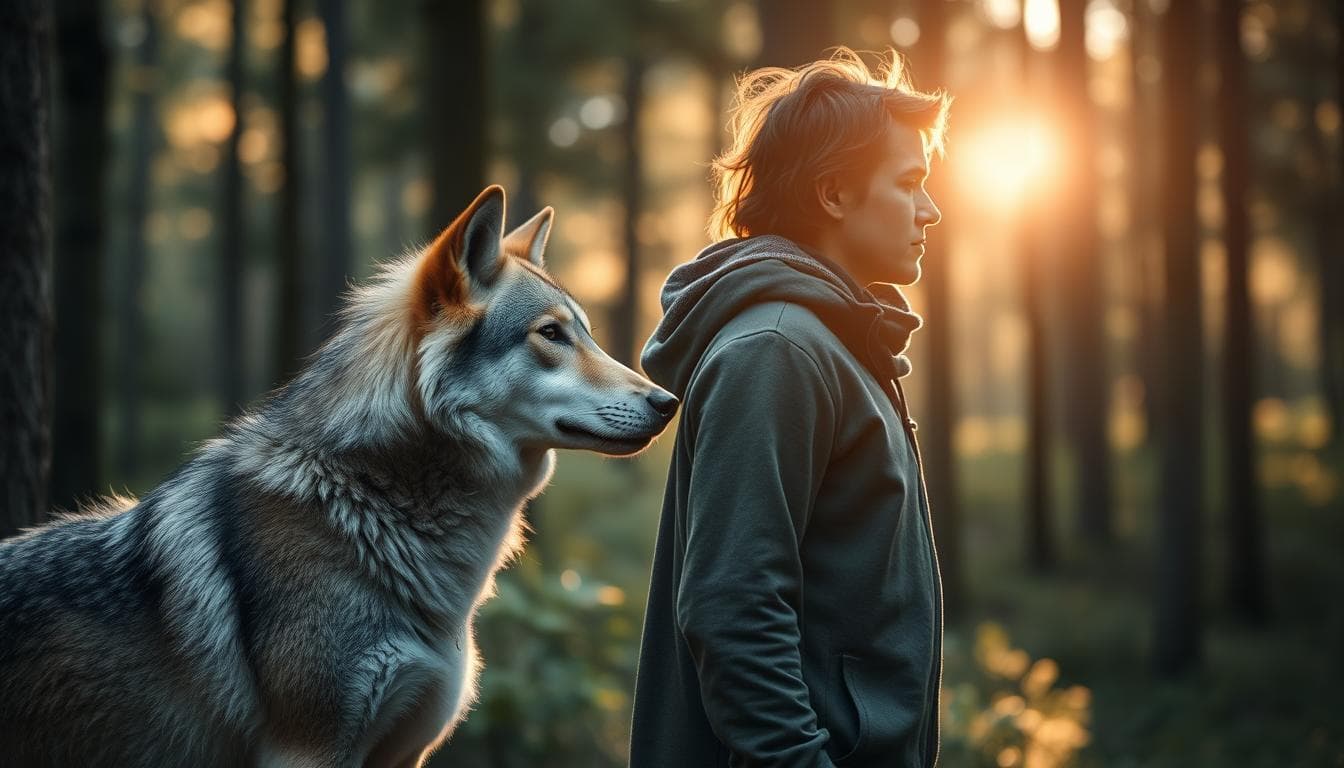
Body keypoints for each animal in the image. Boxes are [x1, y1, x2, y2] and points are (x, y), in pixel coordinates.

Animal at [0, 185, 677, 767]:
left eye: (585, 333)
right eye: (551, 334)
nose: (669, 401)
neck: (370, 506)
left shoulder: (404, 751)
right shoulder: (310, 750)